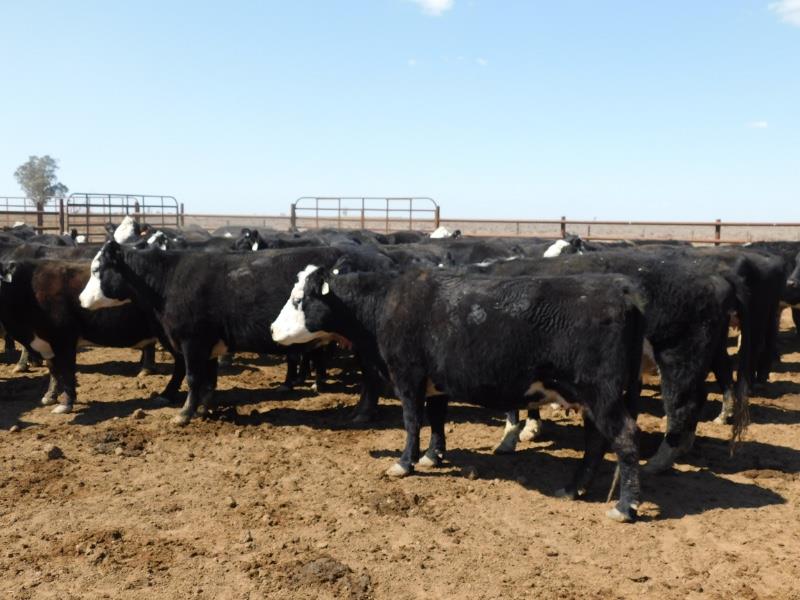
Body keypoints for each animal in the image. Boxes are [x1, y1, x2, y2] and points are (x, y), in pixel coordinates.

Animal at [271, 266, 646, 522]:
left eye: (298, 300)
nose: (273, 329)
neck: (385, 303)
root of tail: (621, 289)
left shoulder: (408, 376)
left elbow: (412, 422)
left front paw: (404, 463)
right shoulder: (436, 383)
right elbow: (436, 420)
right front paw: (432, 456)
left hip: (602, 395)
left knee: (624, 438)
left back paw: (624, 507)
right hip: (593, 400)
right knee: (596, 442)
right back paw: (573, 489)